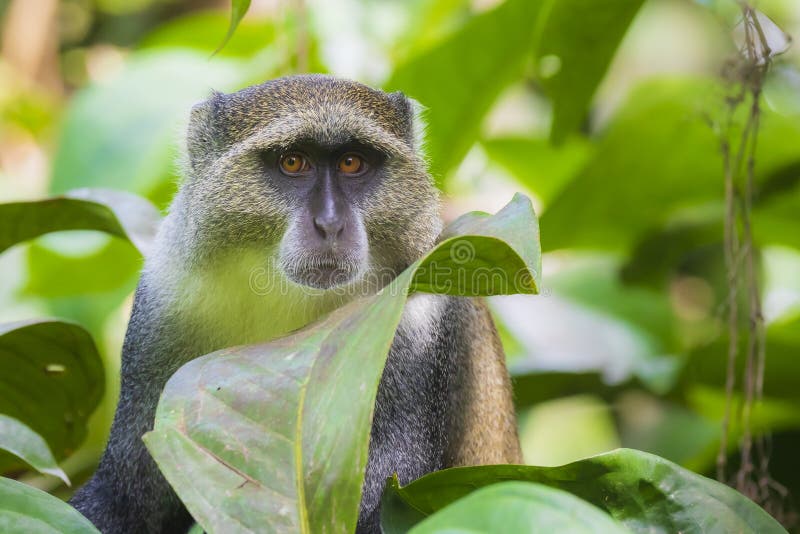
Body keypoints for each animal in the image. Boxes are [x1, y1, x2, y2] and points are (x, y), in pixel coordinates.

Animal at [69, 75, 522, 533]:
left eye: (352, 163)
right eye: (292, 162)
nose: (330, 224)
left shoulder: (415, 312)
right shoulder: (167, 295)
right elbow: (127, 498)